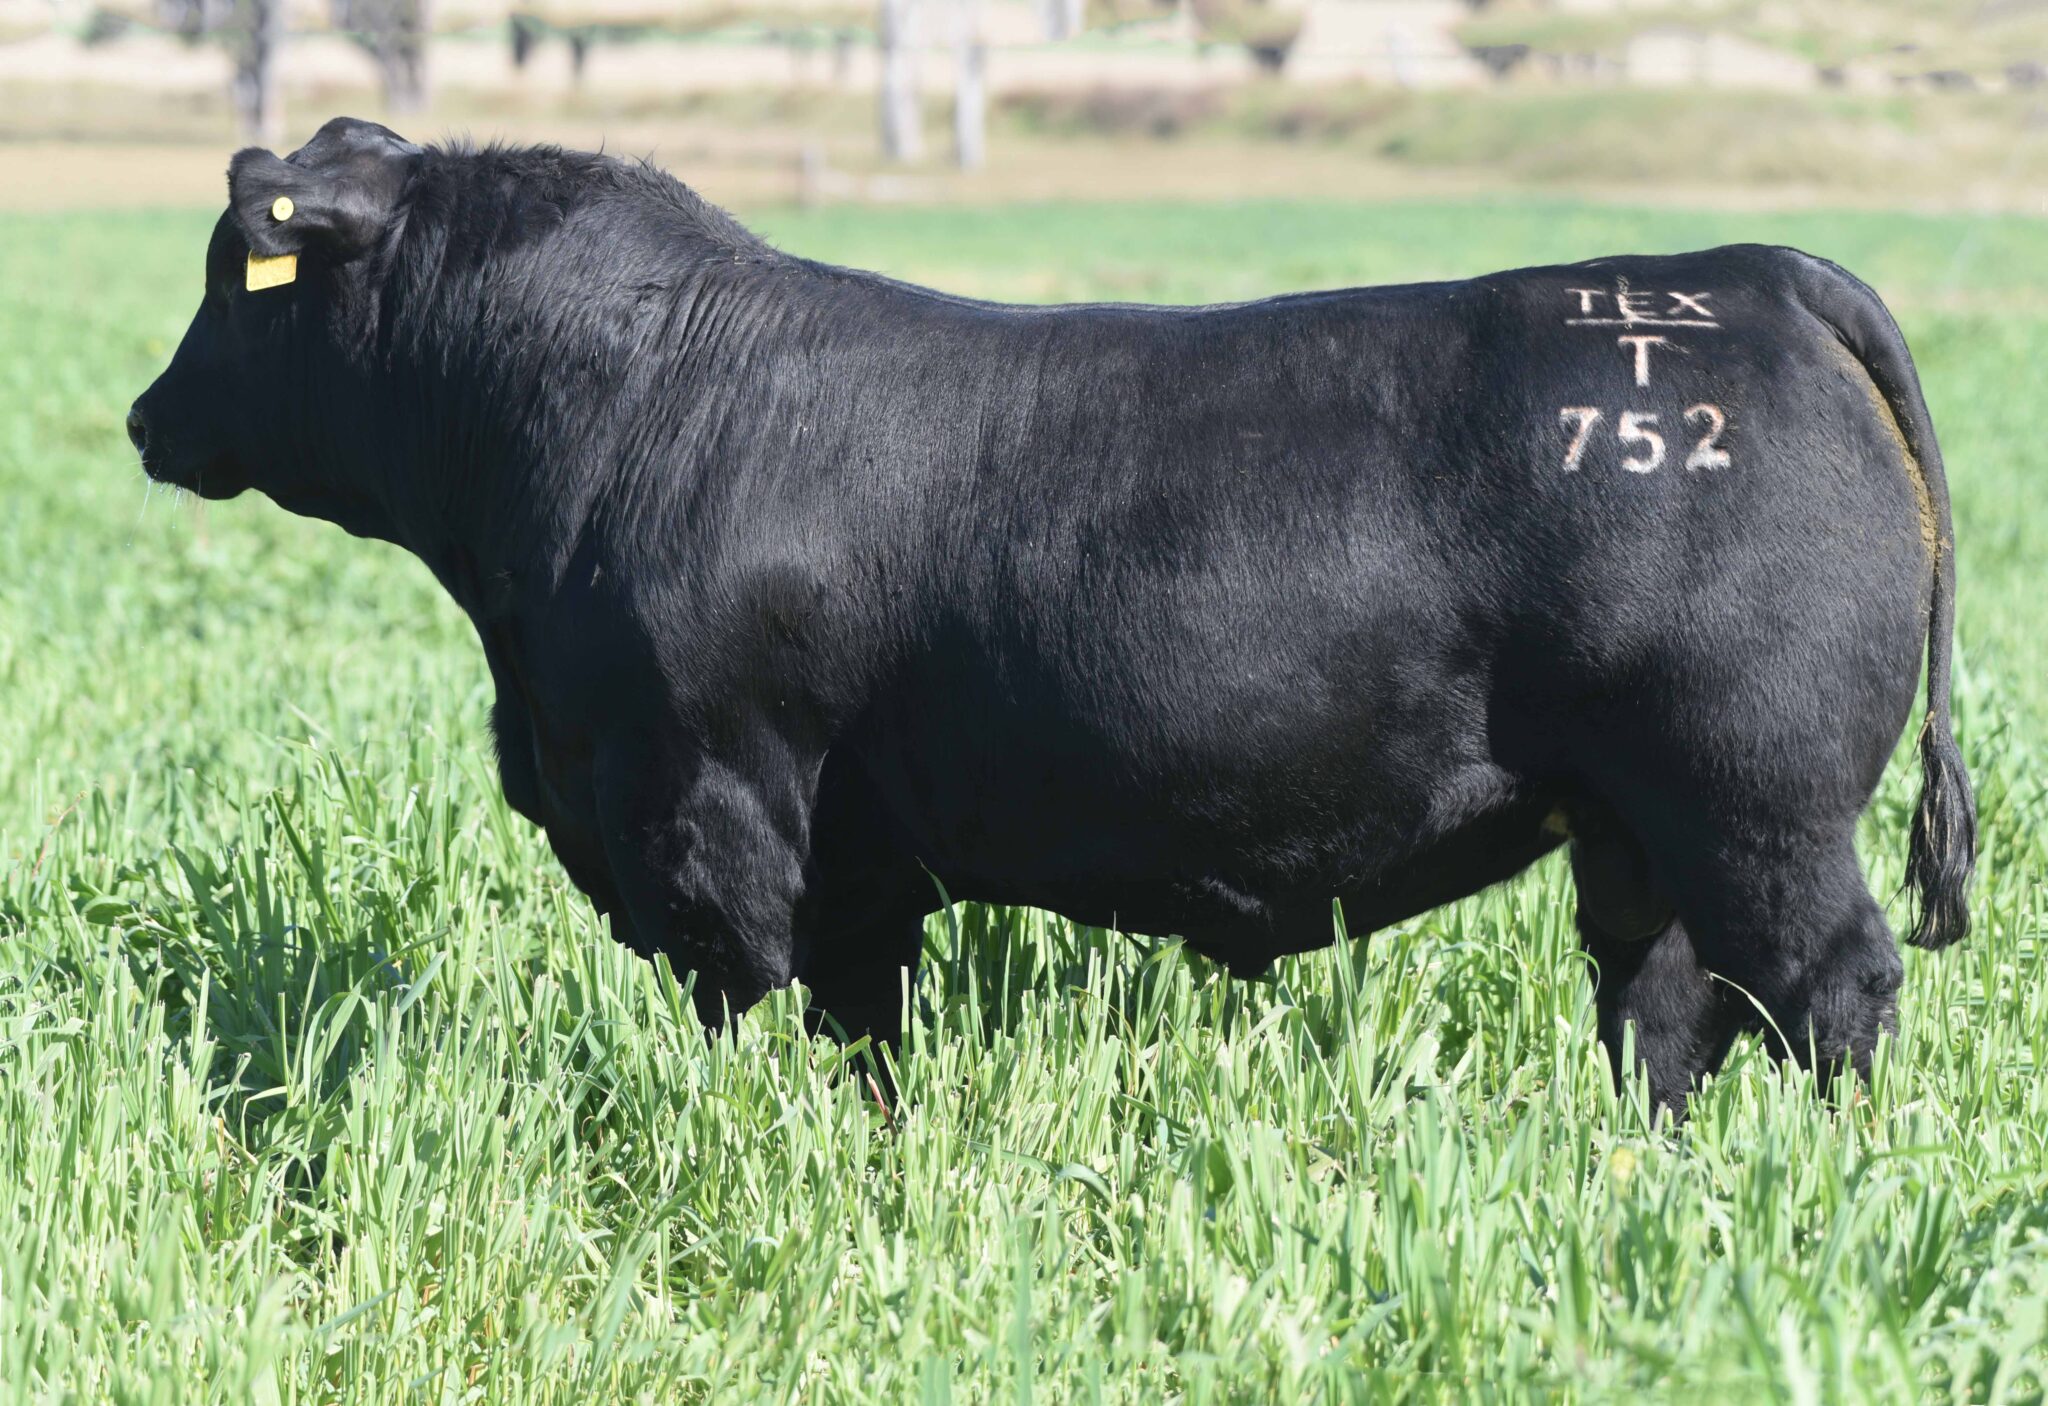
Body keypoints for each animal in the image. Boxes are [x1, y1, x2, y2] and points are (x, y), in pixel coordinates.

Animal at [128, 117, 1975, 1115]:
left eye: (230, 269)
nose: (147, 416)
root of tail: (1739, 272)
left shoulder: (707, 809)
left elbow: (740, 1008)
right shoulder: (856, 862)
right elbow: (861, 1034)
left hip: (1754, 796)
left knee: (1830, 989)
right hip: (1634, 821)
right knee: (1663, 1010)